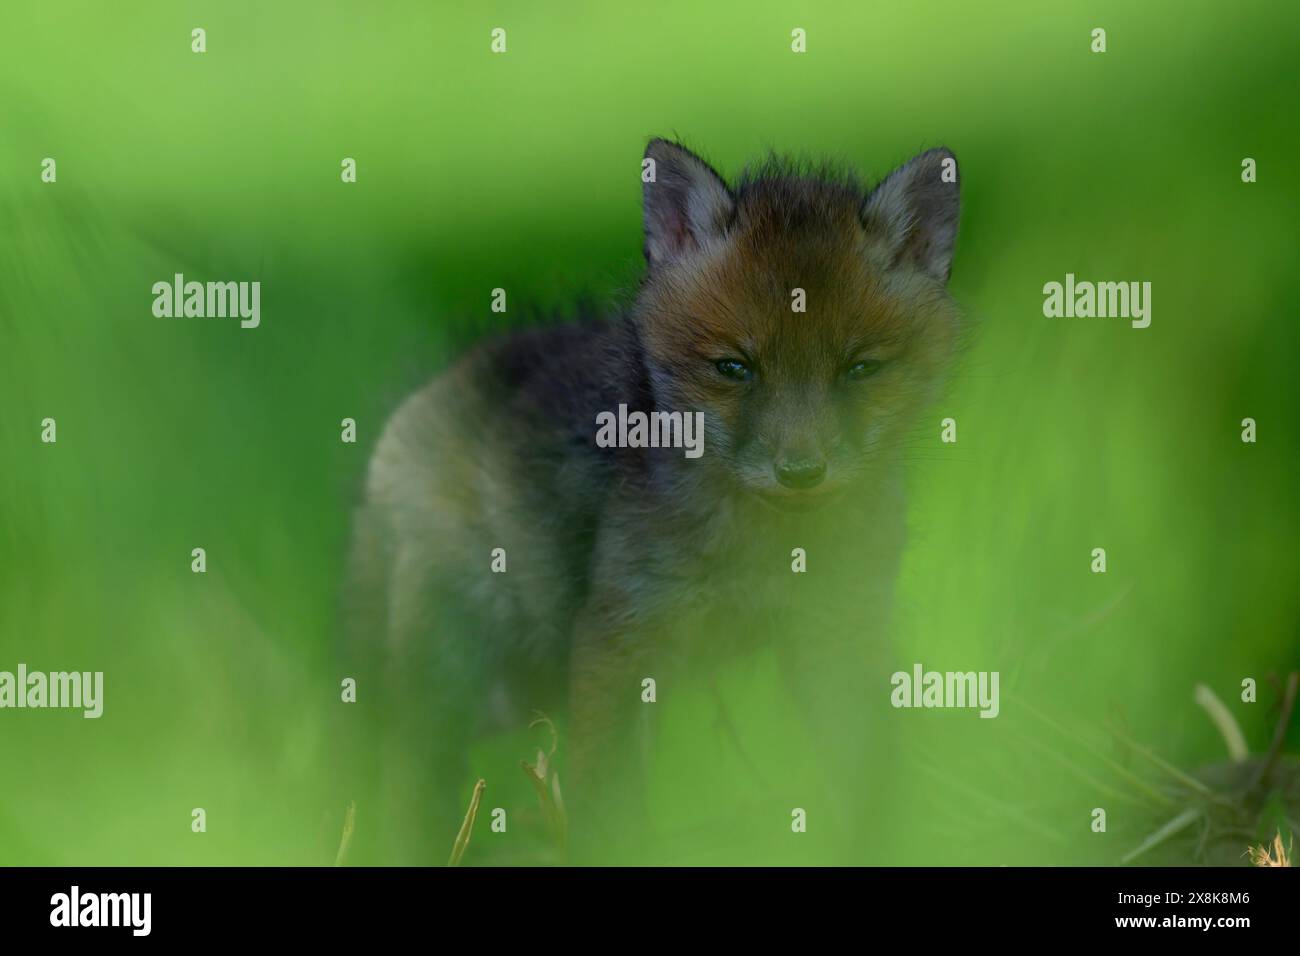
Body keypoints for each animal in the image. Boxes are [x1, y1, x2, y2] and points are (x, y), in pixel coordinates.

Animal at [341, 138, 962, 865]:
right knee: (402, 785)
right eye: (734, 367)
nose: (801, 473)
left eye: (860, 369)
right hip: (451, 674)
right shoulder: (620, 638)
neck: (764, 552)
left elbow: (870, 783)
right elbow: (611, 811)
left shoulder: (837, 630)